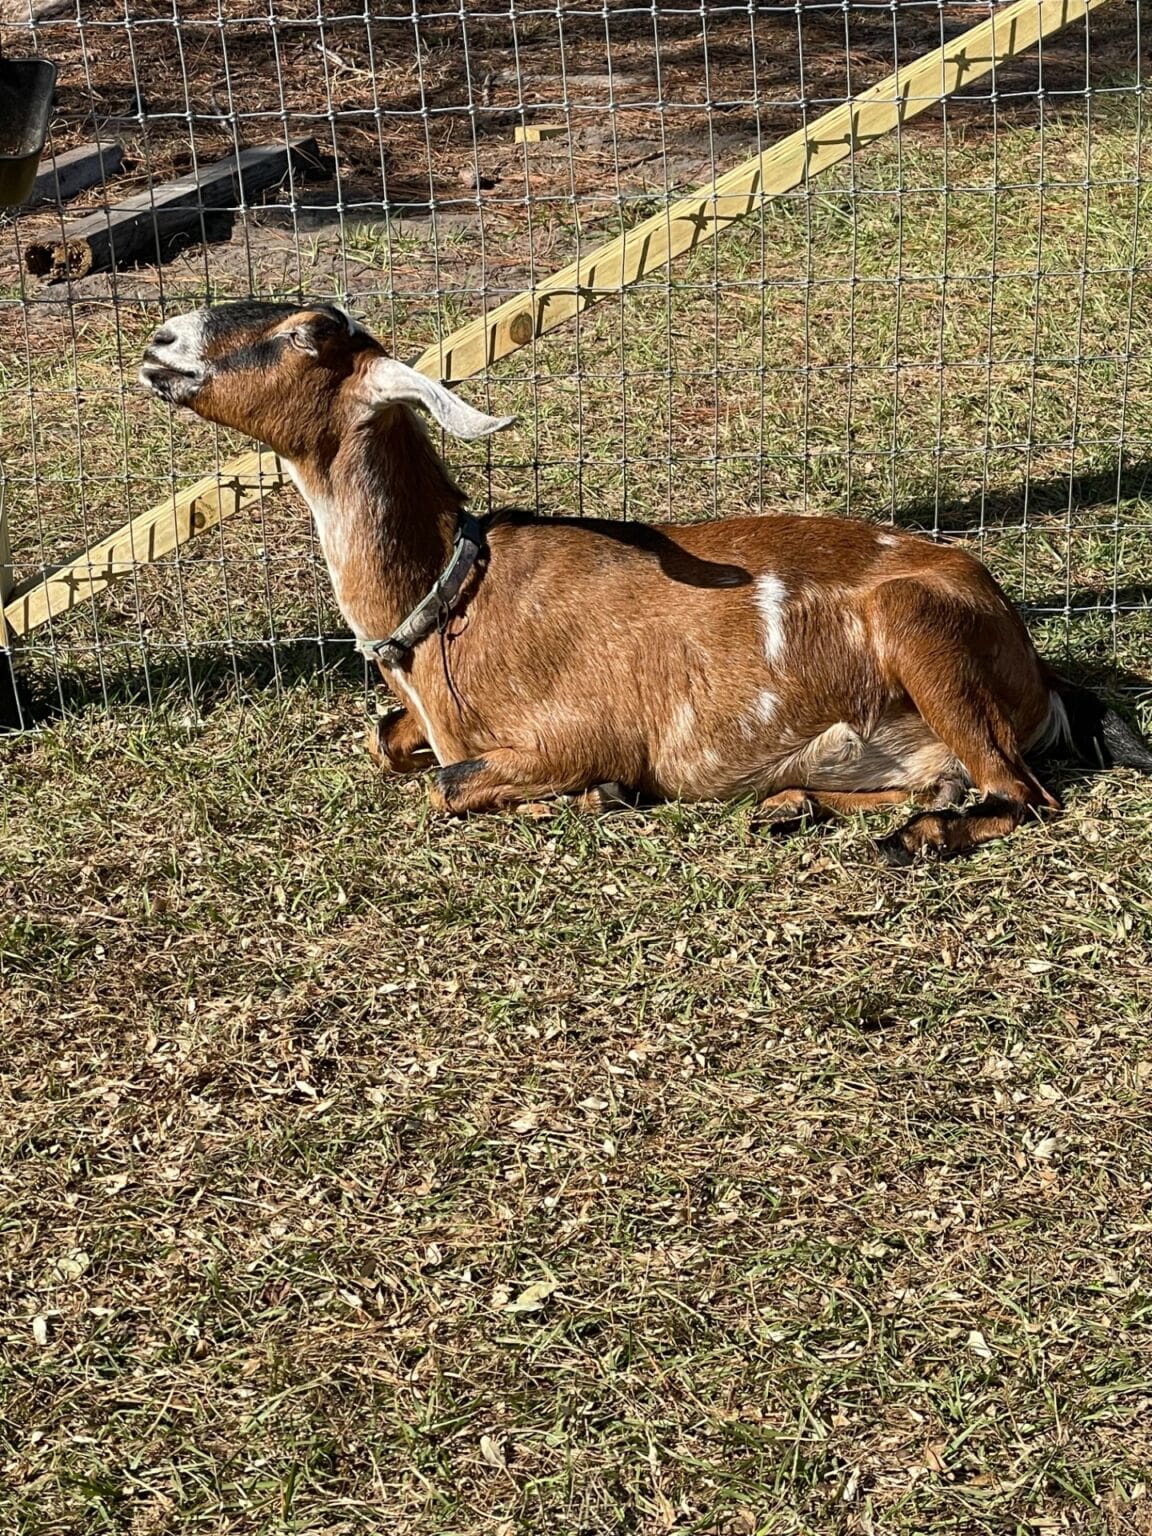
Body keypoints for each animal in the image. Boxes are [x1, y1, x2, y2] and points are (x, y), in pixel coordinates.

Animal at [139, 301, 1152, 861]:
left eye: (307, 334)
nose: (159, 341)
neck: (459, 594)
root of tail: (1032, 658)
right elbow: (388, 743)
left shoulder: (575, 731)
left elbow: (449, 785)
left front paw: (601, 794)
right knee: (946, 780)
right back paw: (792, 804)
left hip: (923, 632)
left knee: (1023, 794)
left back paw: (915, 841)